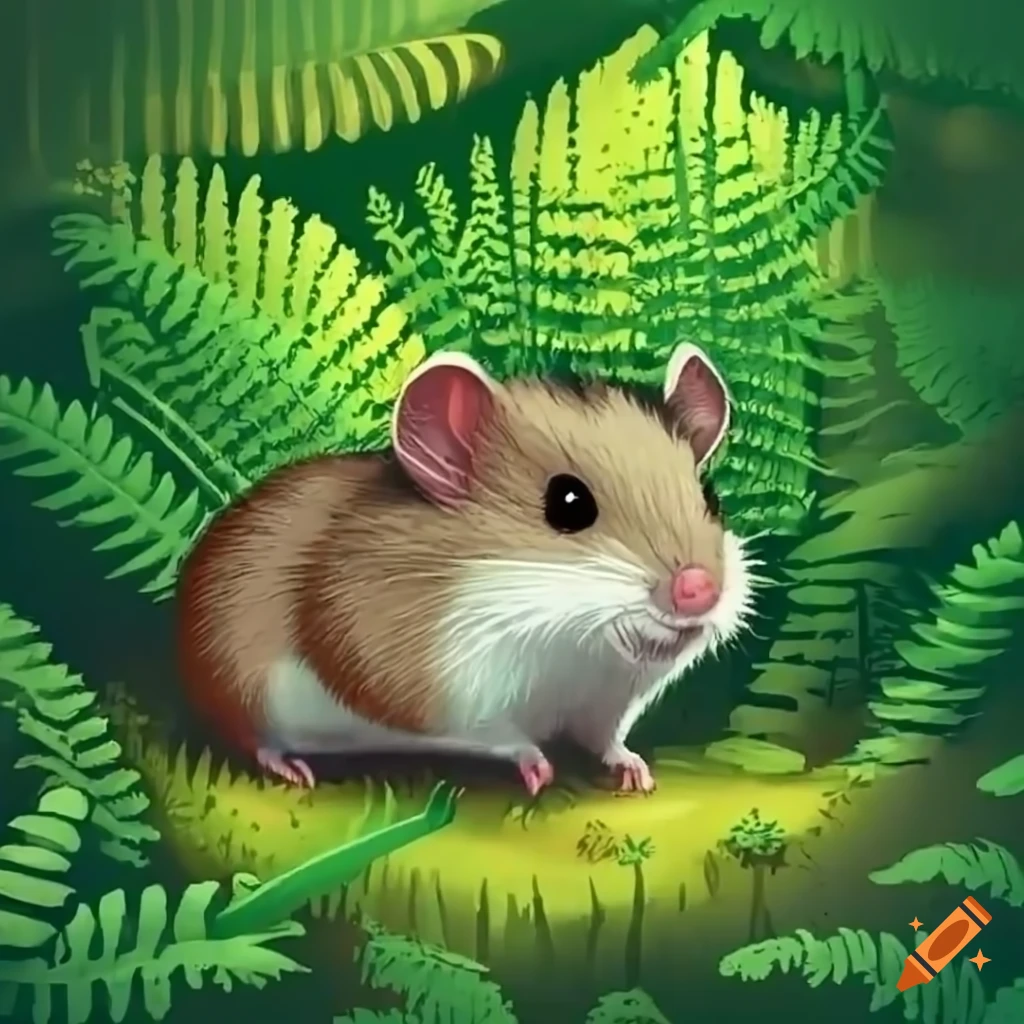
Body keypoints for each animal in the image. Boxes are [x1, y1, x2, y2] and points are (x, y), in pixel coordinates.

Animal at [176, 342, 759, 795]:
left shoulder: (604, 703)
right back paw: (291, 769)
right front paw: (539, 770)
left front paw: (637, 773)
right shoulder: (433, 688)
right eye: (568, 503)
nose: (699, 591)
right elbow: (502, 736)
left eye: (709, 497)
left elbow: (608, 741)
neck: (567, 648)